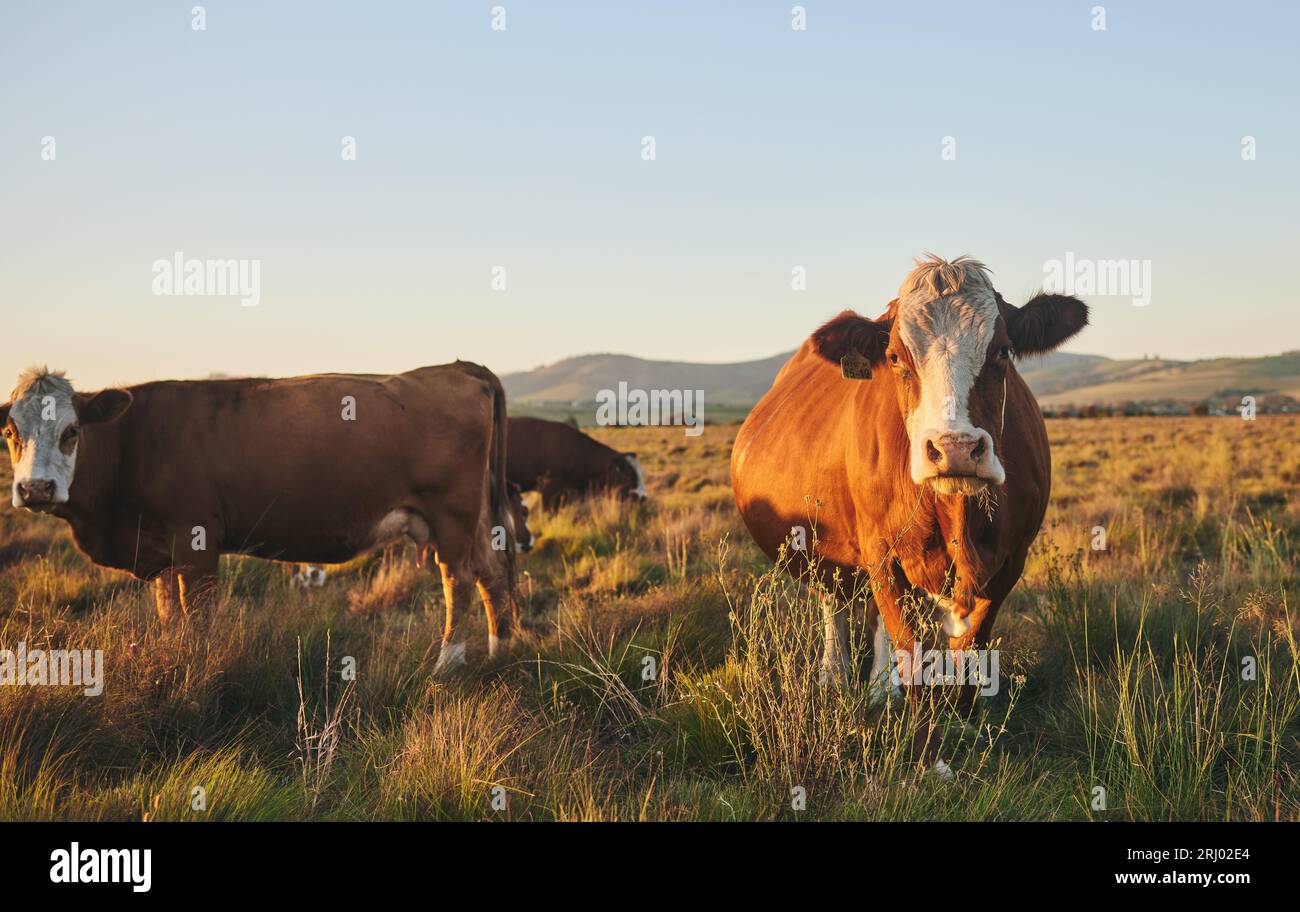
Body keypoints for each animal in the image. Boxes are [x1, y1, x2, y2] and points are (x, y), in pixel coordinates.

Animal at [1, 361, 518, 674]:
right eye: (10, 431)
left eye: (71, 430)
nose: (35, 489)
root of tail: (456, 368)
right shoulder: (160, 551)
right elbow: (169, 615)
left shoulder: (197, 544)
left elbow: (197, 619)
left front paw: (196, 671)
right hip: (472, 521)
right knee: (491, 575)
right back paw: (501, 652)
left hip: (451, 514)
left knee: (458, 580)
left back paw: (447, 664)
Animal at [731, 255, 1087, 776]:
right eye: (897, 357)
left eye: (1002, 351)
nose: (955, 448)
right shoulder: (882, 555)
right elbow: (907, 645)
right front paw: (929, 753)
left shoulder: (1010, 559)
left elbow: (969, 644)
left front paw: (961, 720)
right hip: (824, 550)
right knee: (835, 603)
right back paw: (839, 677)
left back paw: (882, 689)